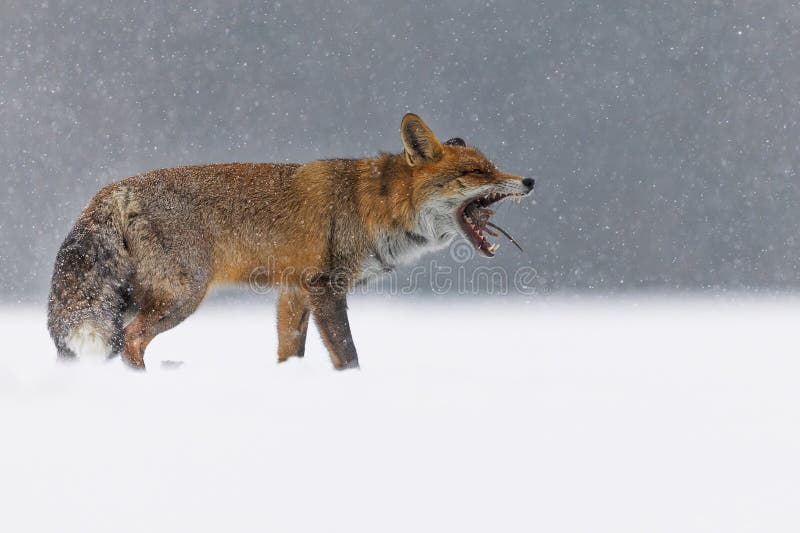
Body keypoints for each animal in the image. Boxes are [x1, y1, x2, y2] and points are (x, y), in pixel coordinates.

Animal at [47, 113, 534, 370]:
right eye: (476, 173)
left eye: (492, 166)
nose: (529, 180)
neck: (372, 205)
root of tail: (114, 190)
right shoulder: (325, 288)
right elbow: (348, 354)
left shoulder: (293, 292)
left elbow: (290, 353)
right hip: (180, 297)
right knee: (131, 341)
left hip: (135, 297)